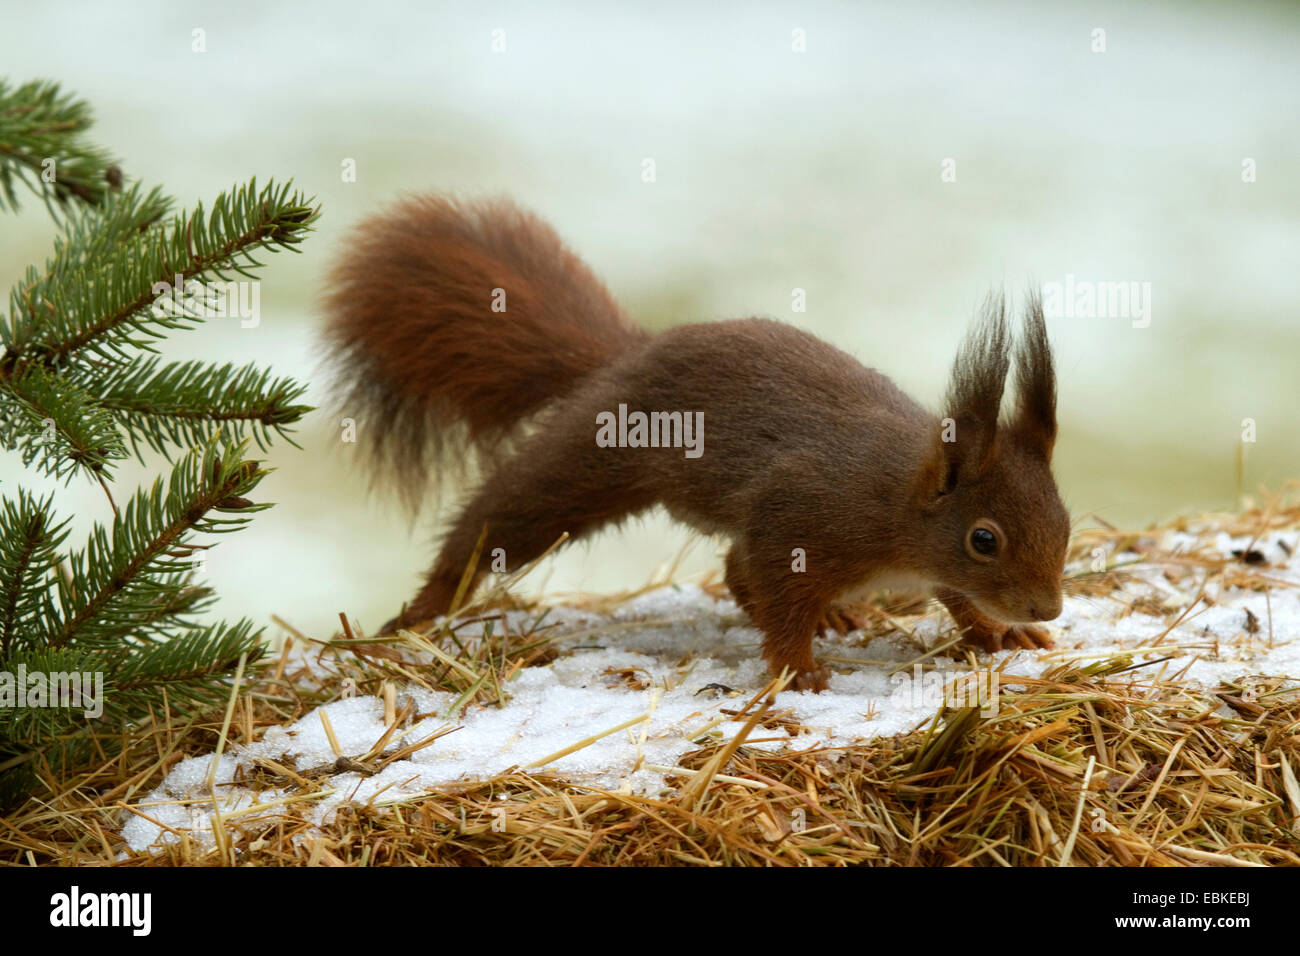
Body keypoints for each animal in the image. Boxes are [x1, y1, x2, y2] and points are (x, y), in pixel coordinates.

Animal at [322, 195, 1070, 691]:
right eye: (983, 539)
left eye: (1064, 524)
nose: (1050, 607)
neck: (900, 511)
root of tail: (627, 354)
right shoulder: (803, 518)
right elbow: (779, 596)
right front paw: (798, 672)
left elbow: (956, 599)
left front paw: (1001, 632)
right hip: (593, 457)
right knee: (496, 522)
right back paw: (416, 614)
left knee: (733, 568)